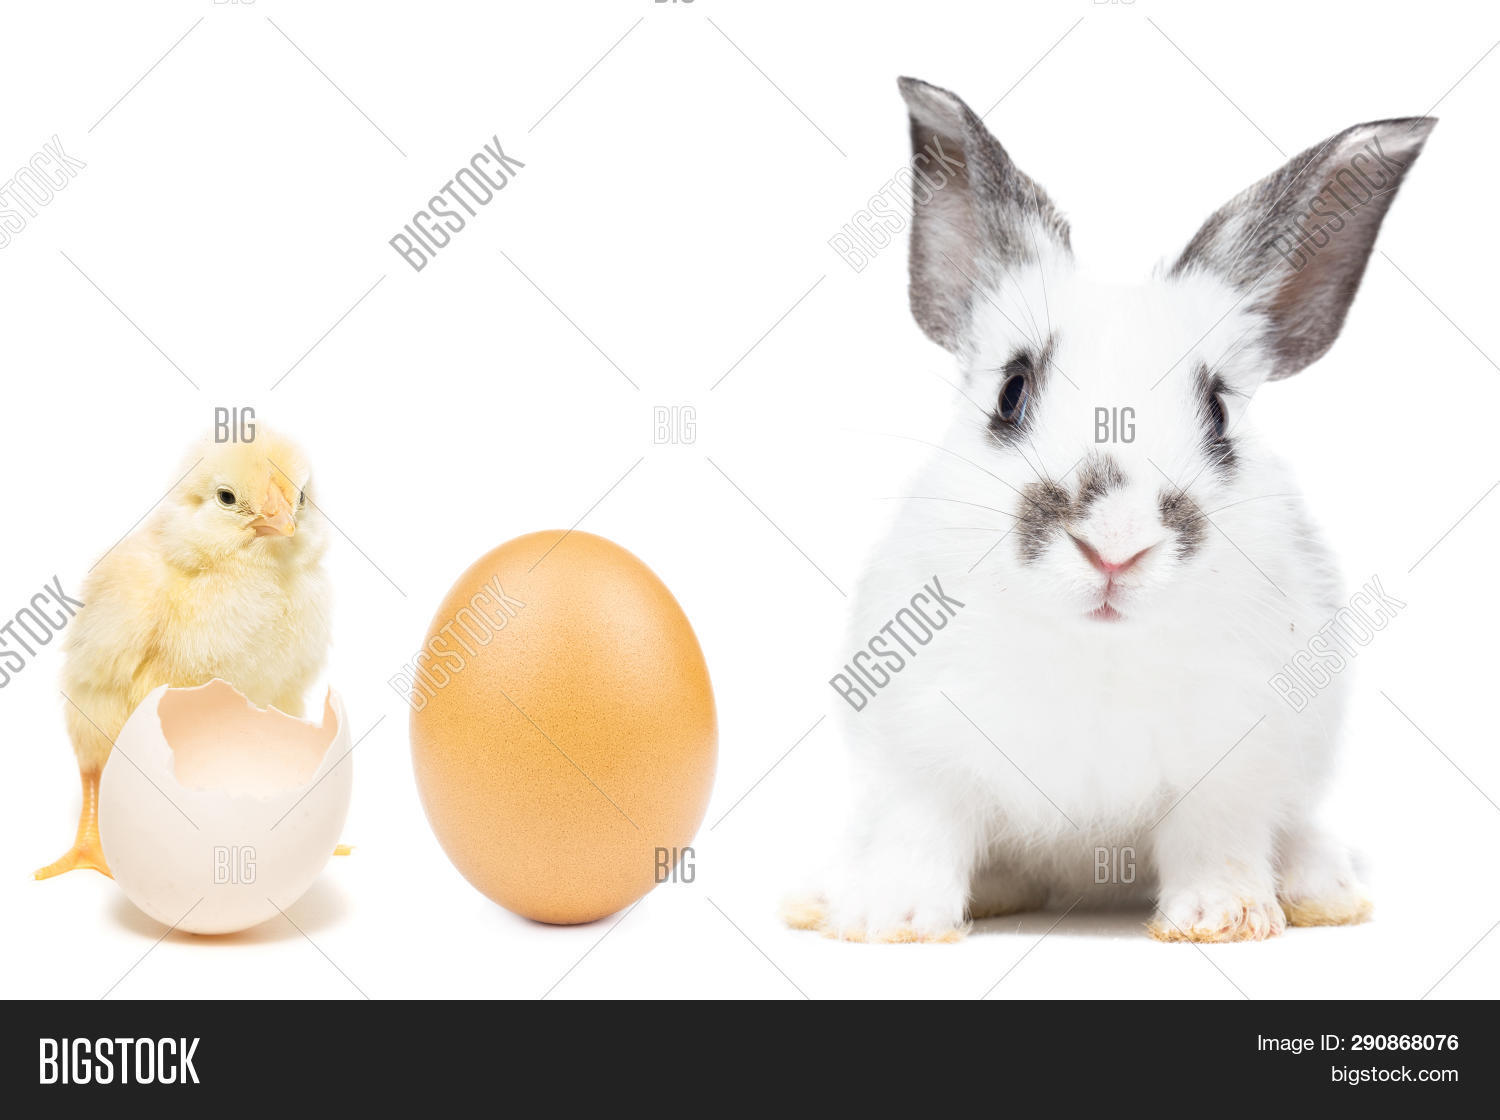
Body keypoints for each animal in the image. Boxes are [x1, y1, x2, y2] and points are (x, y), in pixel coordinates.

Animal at [789, 77, 1434, 944]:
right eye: (1011, 392)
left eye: (1218, 413)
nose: (1116, 544)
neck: (1097, 653)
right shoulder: (918, 755)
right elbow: (920, 833)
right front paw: (890, 919)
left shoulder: (1235, 766)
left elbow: (1217, 840)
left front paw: (1223, 917)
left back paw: (1322, 895)